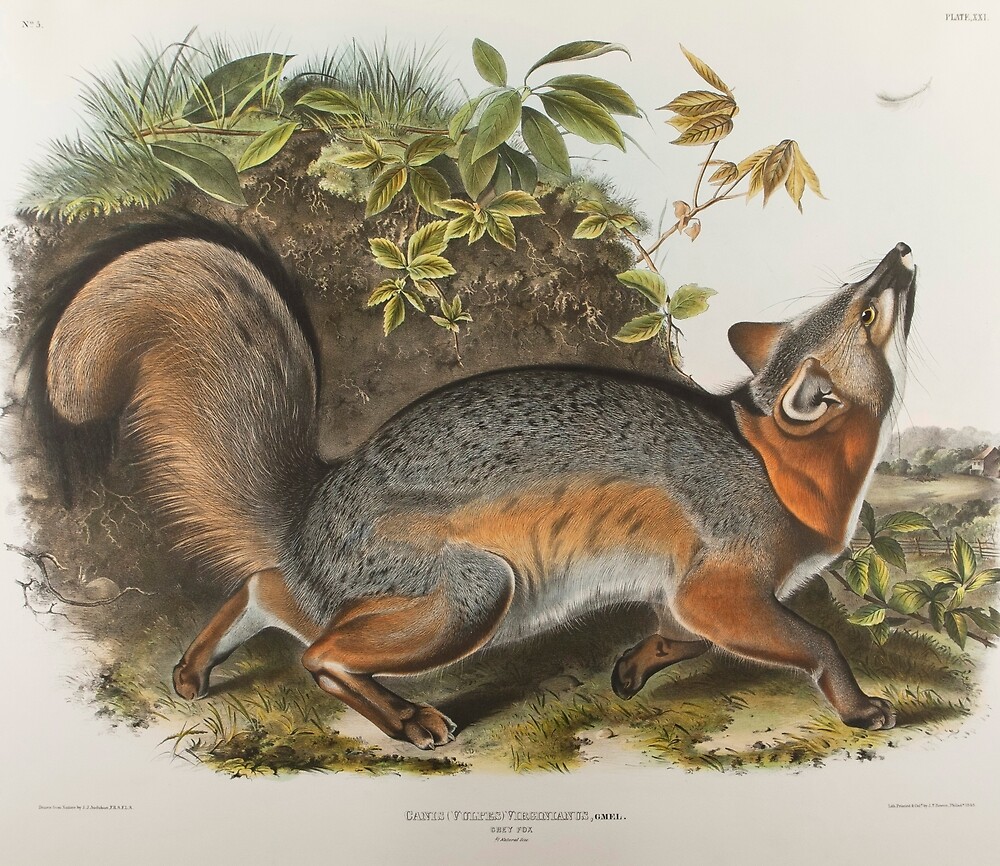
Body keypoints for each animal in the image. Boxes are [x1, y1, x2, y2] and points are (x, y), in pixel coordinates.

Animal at [34, 217, 916, 749]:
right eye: (865, 310)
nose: (899, 254)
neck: (777, 461)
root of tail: (314, 506)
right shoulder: (722, 587)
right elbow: (817, 641)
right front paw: (859, 705)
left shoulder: (693, 592)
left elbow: (680, 635)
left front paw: (632, 668)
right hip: (475, 593)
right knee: (318, 652)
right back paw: (407, 720)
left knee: (265, 588)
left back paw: (195, 668)